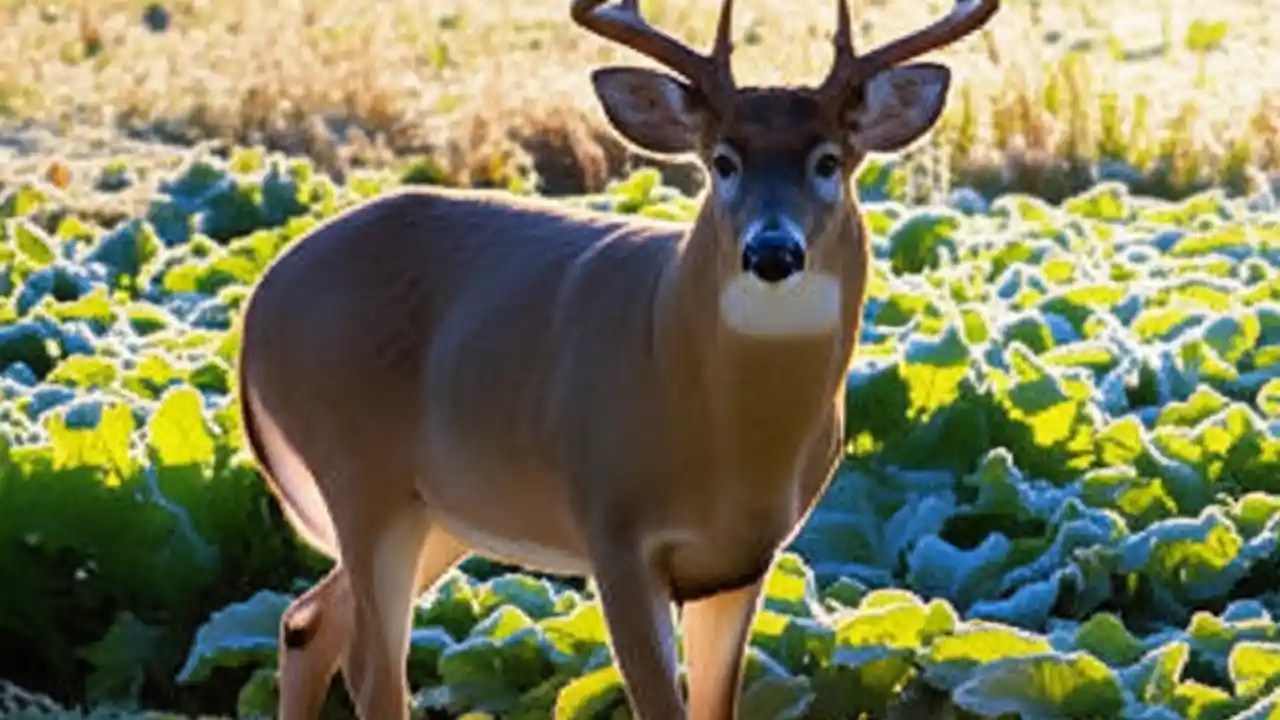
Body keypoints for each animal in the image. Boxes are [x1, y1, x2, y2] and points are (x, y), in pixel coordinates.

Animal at [234, 0, 999, 718]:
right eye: (722, 161)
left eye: (828, 162)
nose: (772, 251)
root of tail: (259, 303)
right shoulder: (614, 527)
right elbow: (659, 704)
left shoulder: (745, 561)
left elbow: (714, 706)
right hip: (359, 472)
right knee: (372, 667)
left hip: (442, 511)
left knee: (307, 622)